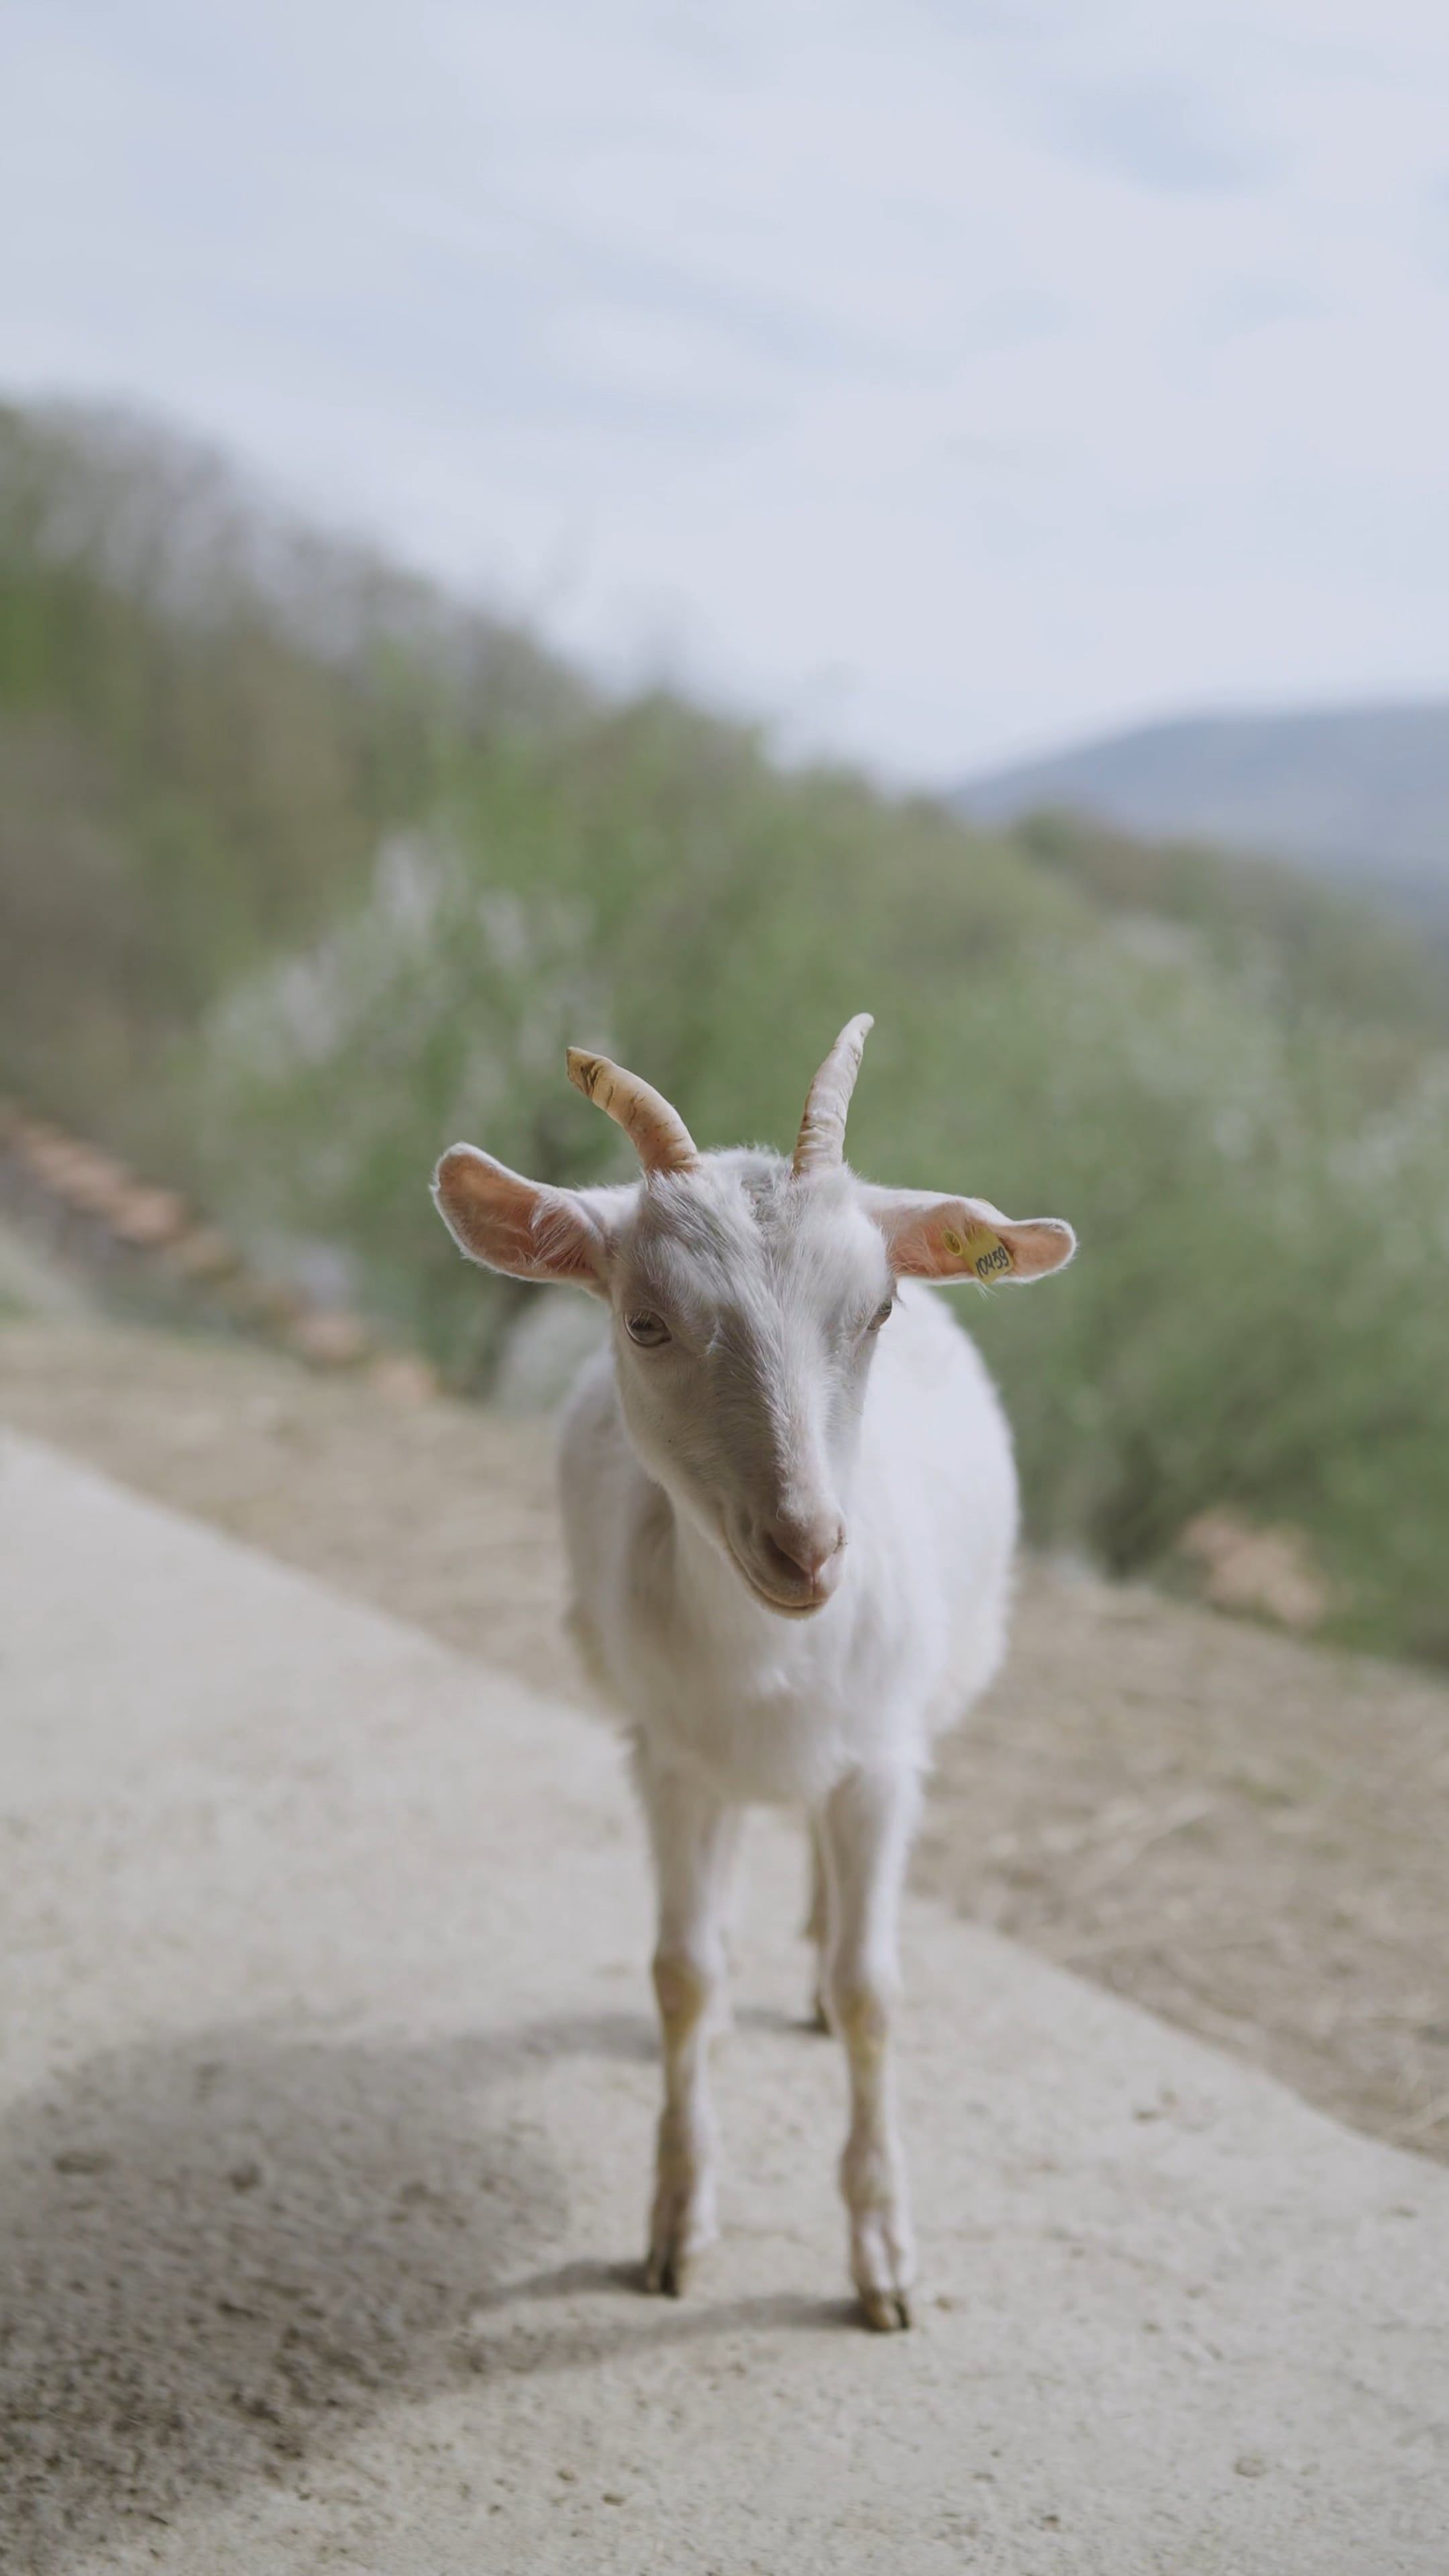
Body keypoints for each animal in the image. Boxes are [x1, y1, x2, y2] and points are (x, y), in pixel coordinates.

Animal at [433, 1017, 1075, 2330]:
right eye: (645, 1321)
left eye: (877, 1309)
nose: (808, 1546)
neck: (774, 1658)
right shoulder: (669, 1756)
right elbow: (679, 1975)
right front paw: (677, 2225)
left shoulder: (881, 1762)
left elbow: (878, 1990)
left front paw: (883, 2258)